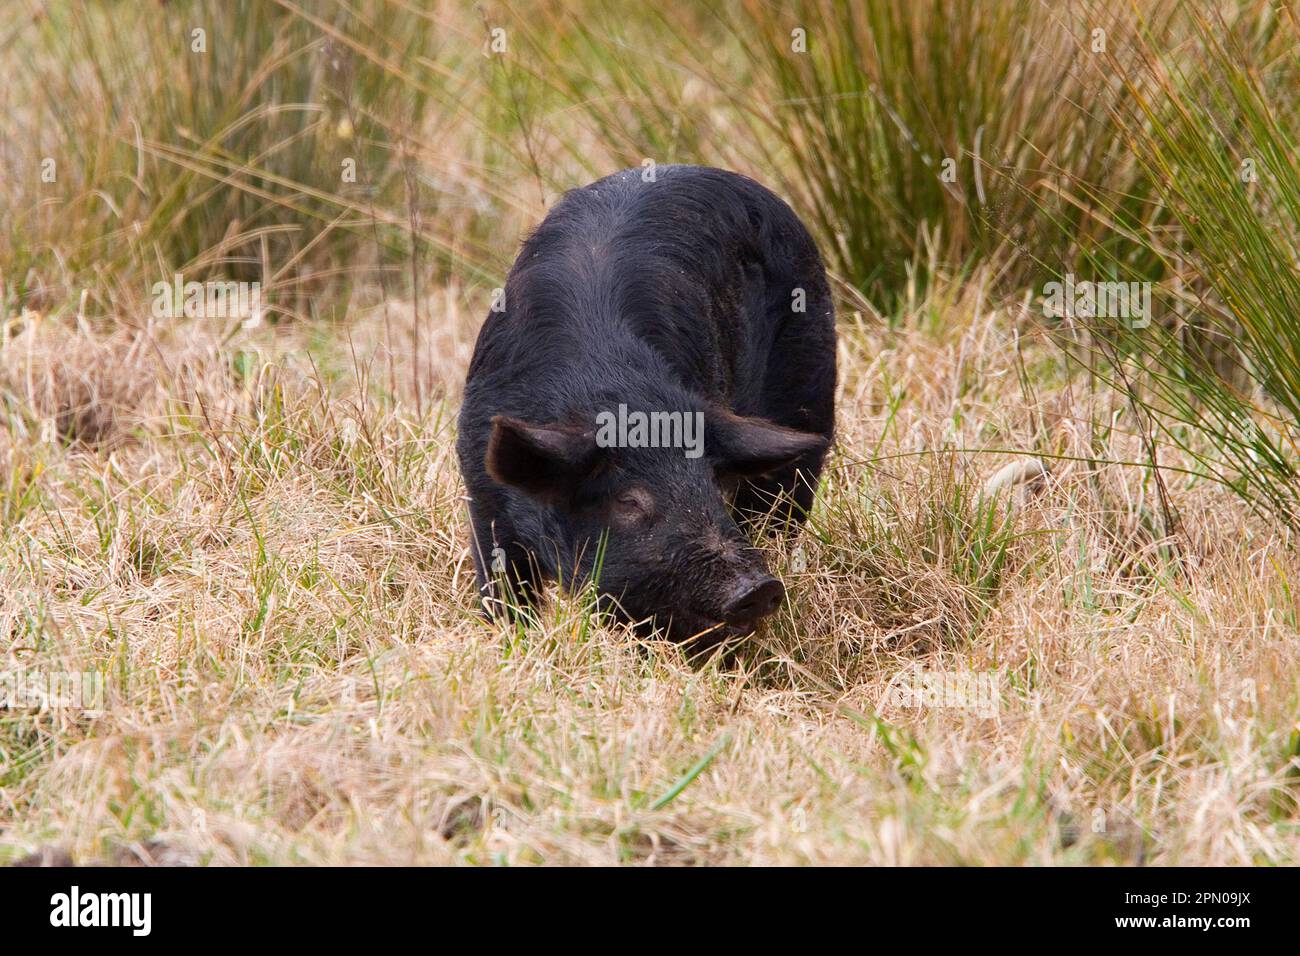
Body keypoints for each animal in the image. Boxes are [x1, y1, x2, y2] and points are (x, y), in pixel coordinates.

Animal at [457, 165, 836, 647]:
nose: (757, 588)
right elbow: (503, 587)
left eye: (710, 483)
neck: (611, 384)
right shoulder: (482, 488)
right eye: (629, 500)